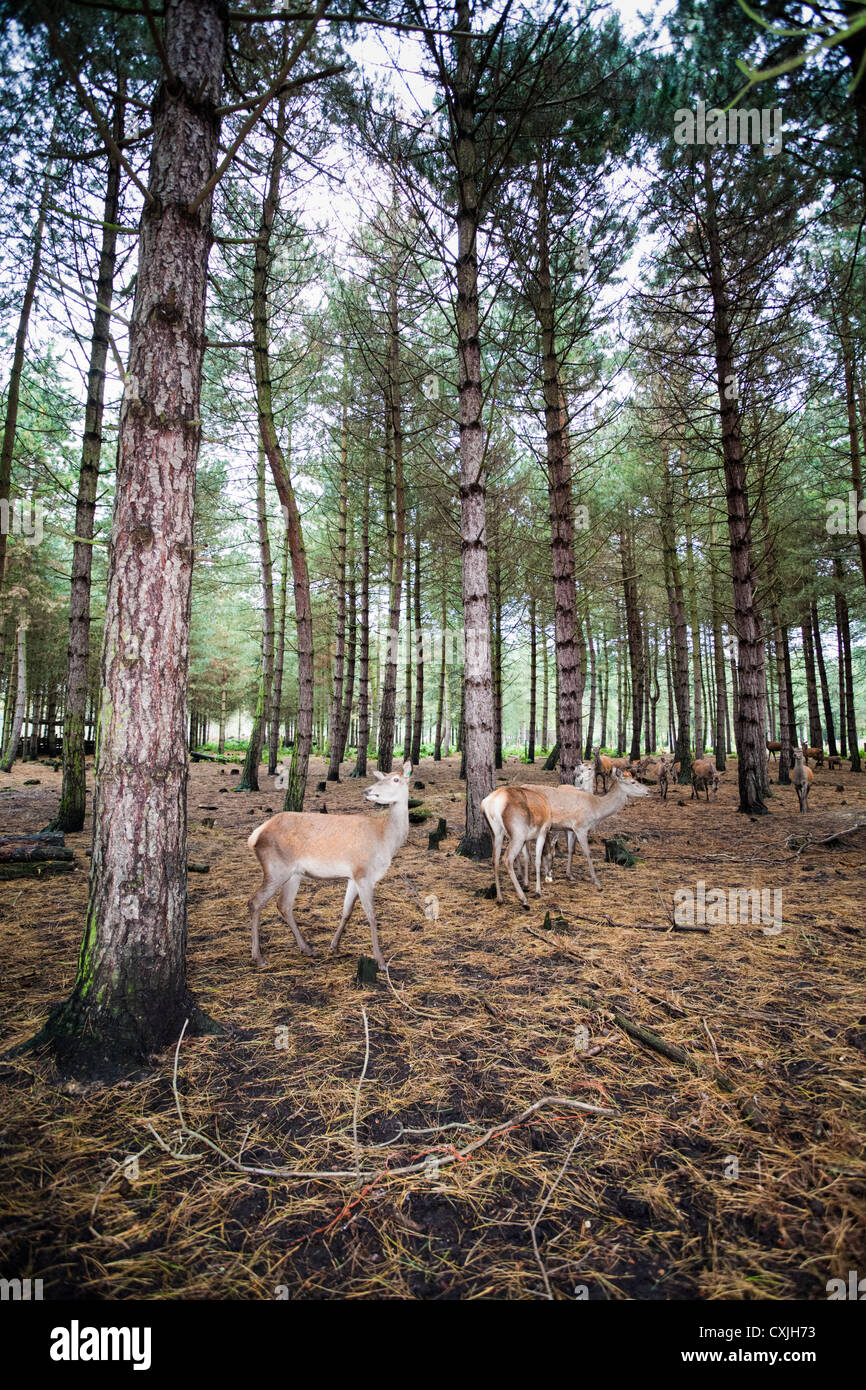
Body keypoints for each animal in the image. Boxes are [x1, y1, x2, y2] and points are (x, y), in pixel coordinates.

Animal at [247, 761, 412, 970]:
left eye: (396, 779)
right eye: (382, 778)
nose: (367, 791)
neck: (386, 840)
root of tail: (256, 834)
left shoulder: (353, 876)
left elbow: (347, 911)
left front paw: (334, 946)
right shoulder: (364, 873)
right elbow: (372, 915)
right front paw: (381, 960)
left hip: (294, 874)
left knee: (284, 904)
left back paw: (307, 948)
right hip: (275, 868)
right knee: (255, 902)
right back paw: (258, 956)